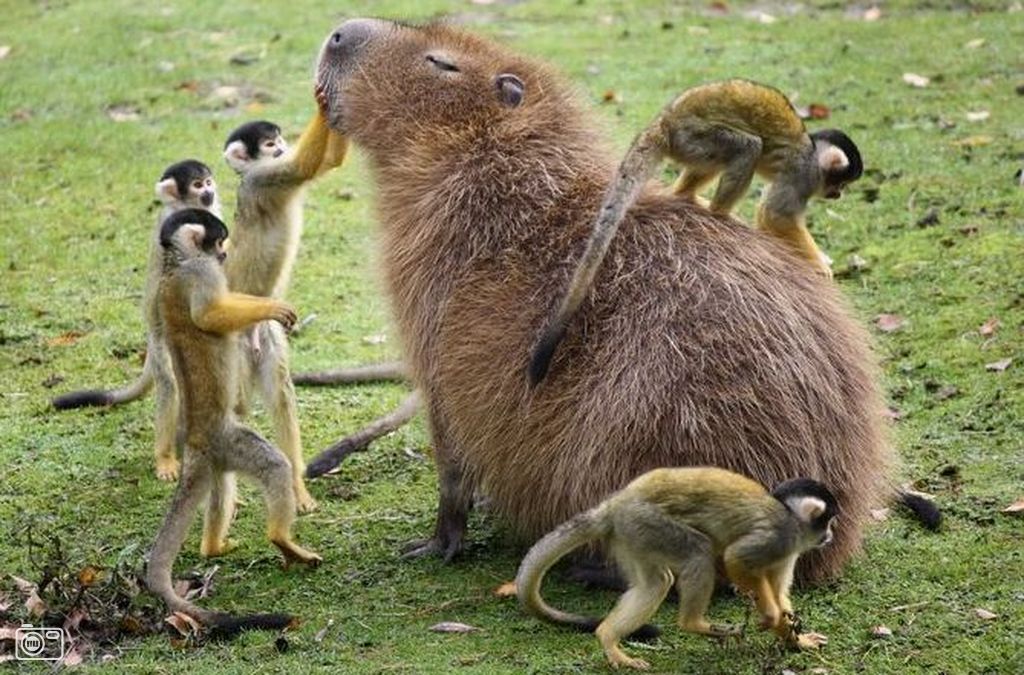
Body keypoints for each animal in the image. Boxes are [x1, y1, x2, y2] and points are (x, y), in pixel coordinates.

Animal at [52, 159, 222, 482]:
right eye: (197, 185)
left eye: (207, 182)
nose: (209, 190)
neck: (186, 206)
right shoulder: (168, 226)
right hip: (158, 342)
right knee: (169, 382)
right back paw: (166, 457)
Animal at [145, 207, 320, 634]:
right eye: (219, 241)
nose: (224, 254)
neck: (176, 263)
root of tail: (194, 440)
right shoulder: (201, 271)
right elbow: (210, 313)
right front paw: (271, 308)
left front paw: (264, 300)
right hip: (231, 440)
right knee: (274, 465)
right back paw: (281, 539)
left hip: (216, 456)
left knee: (220, 487)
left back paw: (214, 546)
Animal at [516, 467, 835, 670]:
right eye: (829, 520)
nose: (830, 535)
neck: (791, 518)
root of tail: (615, 503)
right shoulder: (780, 536)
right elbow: (736, 558)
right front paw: (770, 616)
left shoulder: (789, 549)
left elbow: (779, 594)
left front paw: (798, 640)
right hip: (646, 521)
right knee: (699, 552)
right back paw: (693, 623)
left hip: (632, 533)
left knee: (655, 583)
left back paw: (607, 636)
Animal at [528, 79, 863, 385]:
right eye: (840, 182)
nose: (839, 195)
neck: (811, 151)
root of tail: (665, 122)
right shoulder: (801, 174)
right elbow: (776, 214)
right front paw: (819, 266)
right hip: (694, 138)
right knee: (747, 147)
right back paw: (720, 212)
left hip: (690, 146)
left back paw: (687, 196)